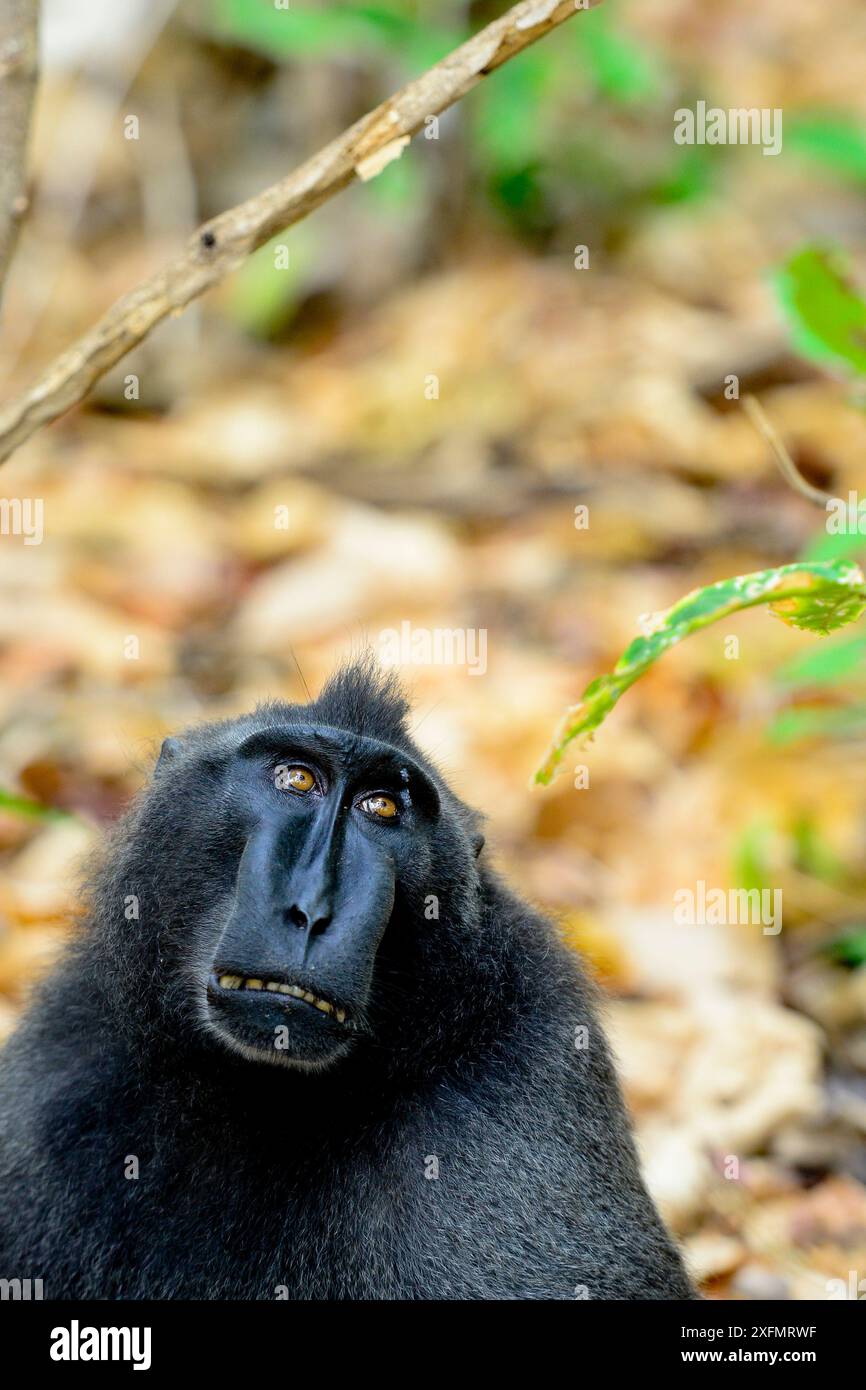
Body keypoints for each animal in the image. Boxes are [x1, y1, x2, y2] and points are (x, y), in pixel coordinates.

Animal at [0, 660, 694, 1300]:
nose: (312, 909)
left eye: (381, 808)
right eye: (297, 779)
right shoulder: (69, 1055)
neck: (260, 1096)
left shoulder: (525, 1081)